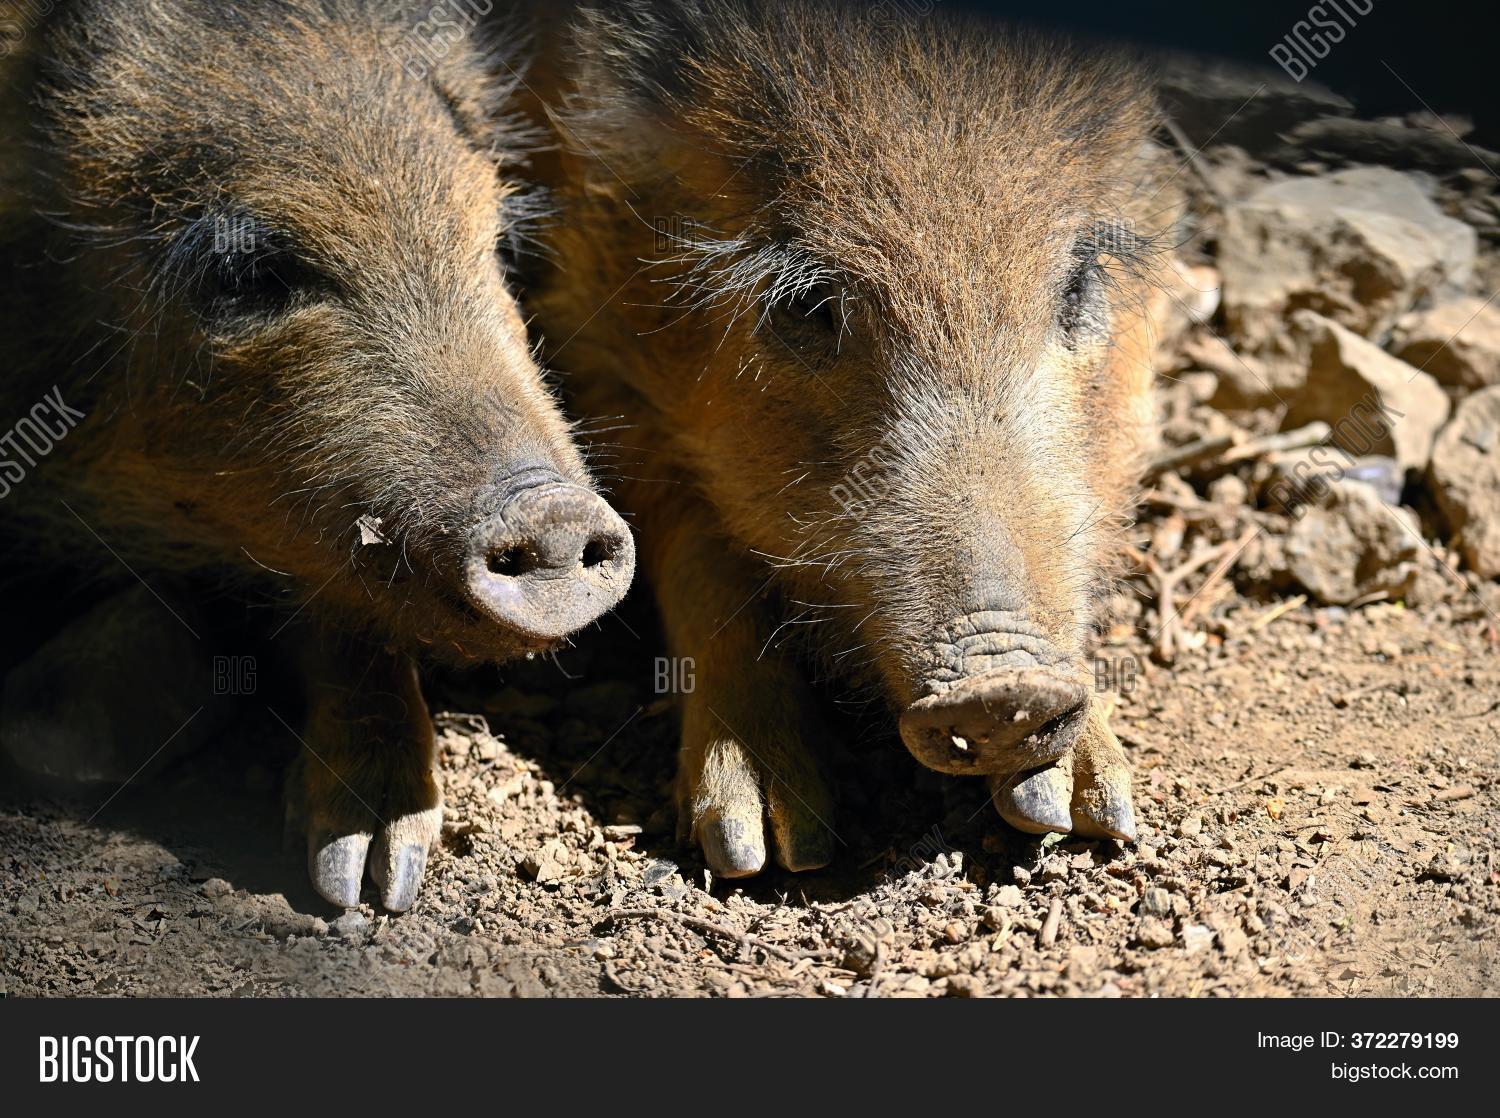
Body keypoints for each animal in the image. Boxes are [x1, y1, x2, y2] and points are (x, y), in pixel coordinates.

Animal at [526, 0, 1166, 876]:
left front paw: (1094, 816)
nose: (1004, 692)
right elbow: (686, 544)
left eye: (1077, 287)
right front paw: (763, 855)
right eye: (807, 305)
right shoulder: (582, 325)